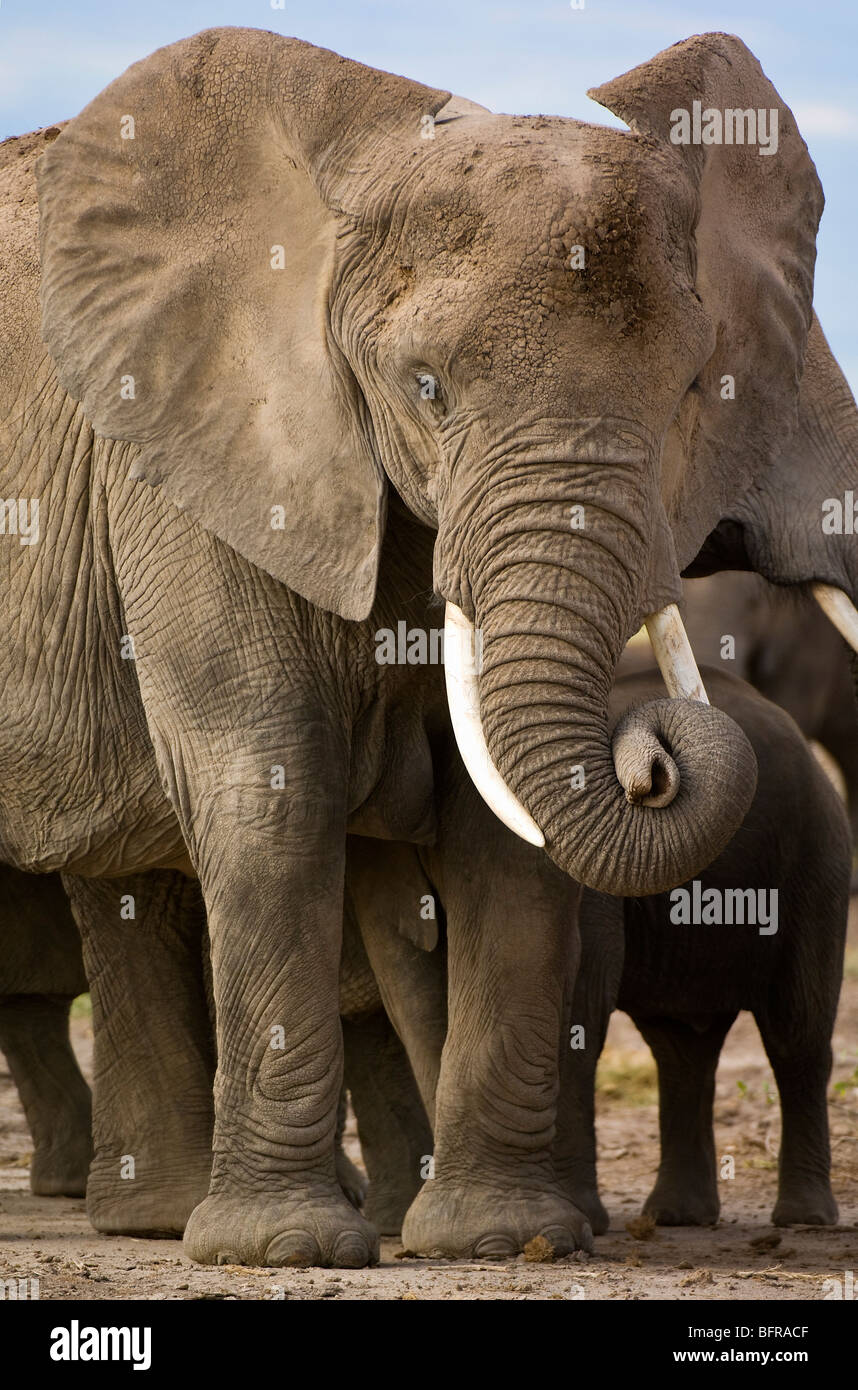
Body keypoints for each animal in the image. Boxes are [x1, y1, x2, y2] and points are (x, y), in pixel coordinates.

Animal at [2, 26, 857, 1267]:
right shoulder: (189, 451)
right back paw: (168, 1217)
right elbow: (269, 785)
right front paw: (286, 1249)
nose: (653, 752)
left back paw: (156, 1215)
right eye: (426, 388)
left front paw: (498, 1239)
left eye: (693, 388)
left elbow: (505, 834)